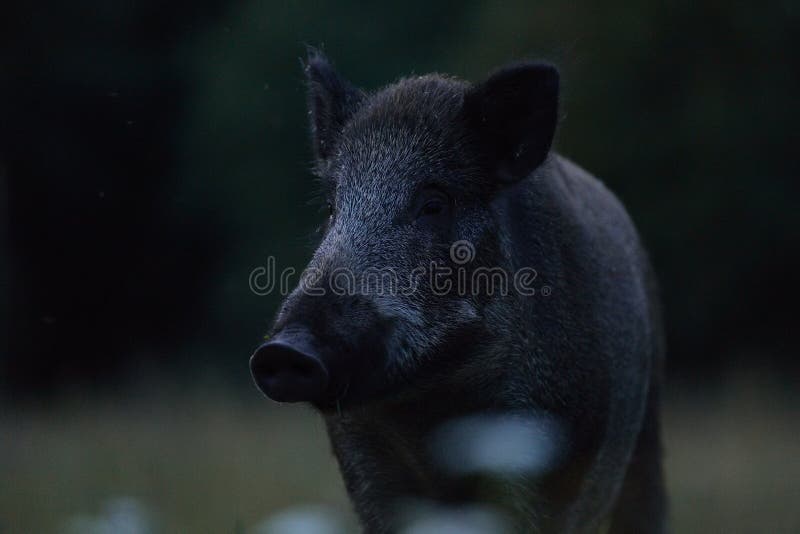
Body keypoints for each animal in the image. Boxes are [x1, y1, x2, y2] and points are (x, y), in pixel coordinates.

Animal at [250, 49, 667, 534]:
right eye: (332, 208)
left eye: (434, 203)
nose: (282, 349)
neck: (435, 406)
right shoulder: (366, 464)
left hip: (646, 439)